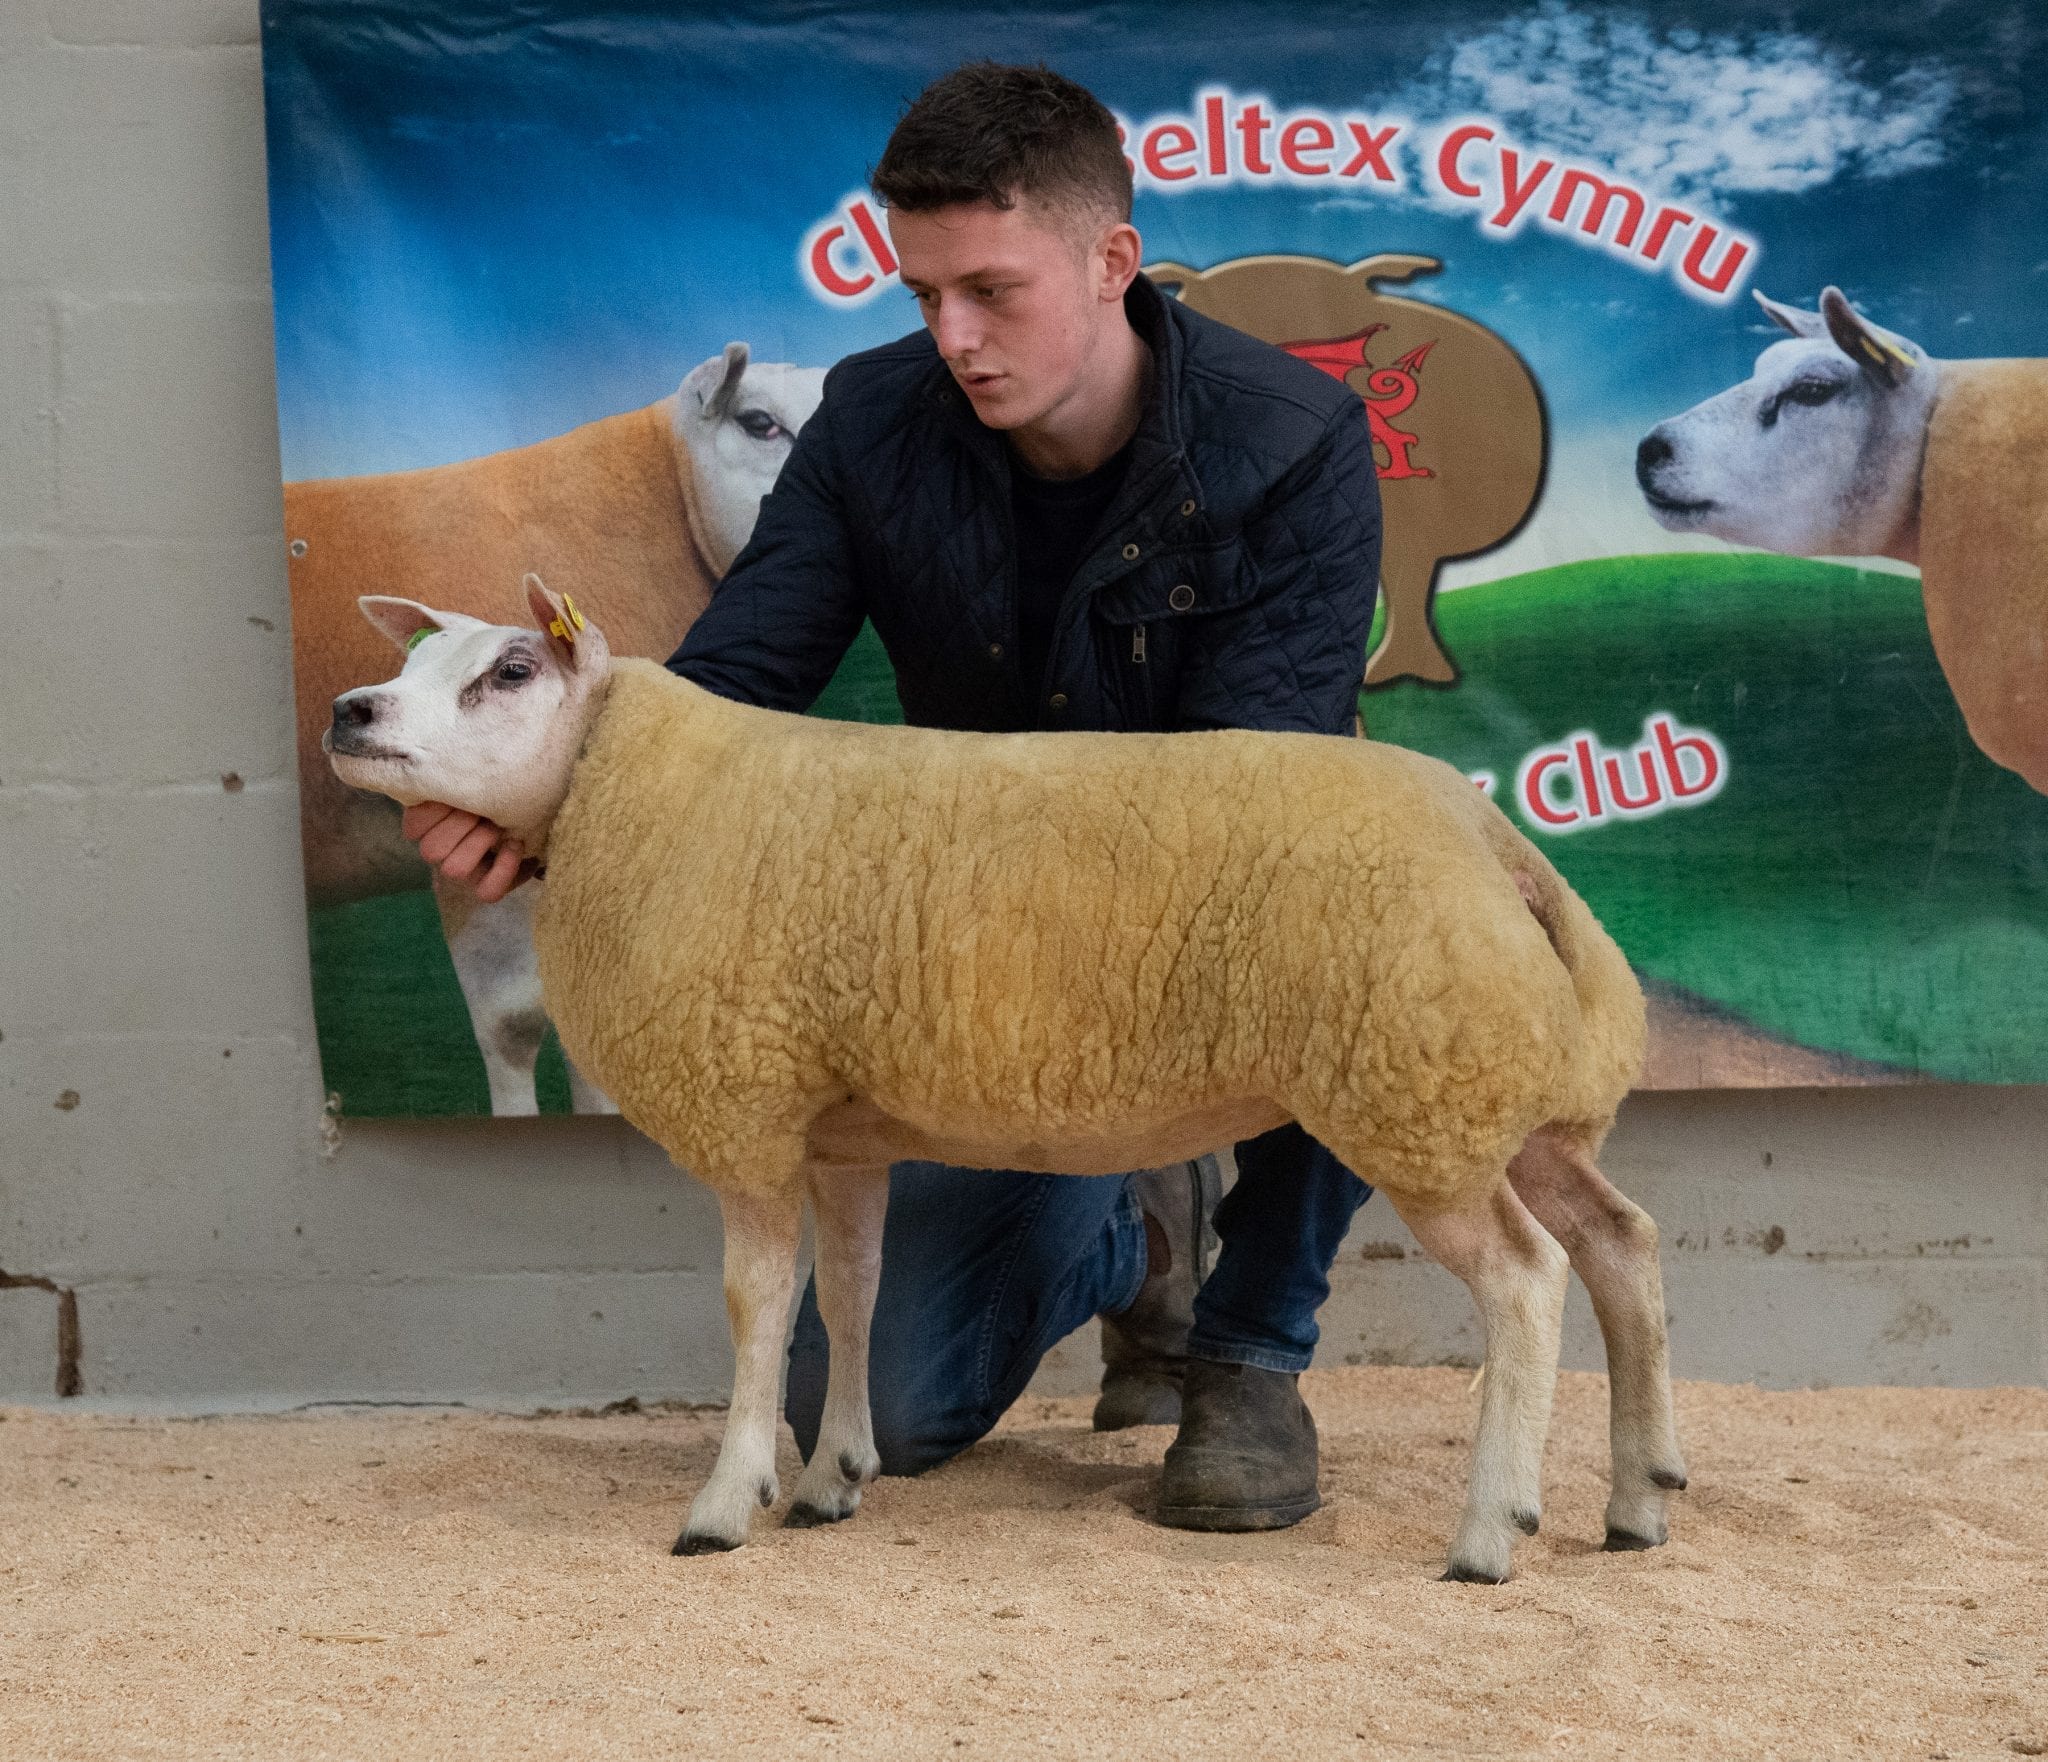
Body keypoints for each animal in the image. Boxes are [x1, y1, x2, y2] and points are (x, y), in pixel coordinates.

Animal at [324, 577, 1686, 1583]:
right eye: (420, 655)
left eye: (508, 673)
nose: (348, 711)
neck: (630, 791)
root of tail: (1495, 842)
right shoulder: (842, 1132)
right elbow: (855, 1297)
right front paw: (833, 1478)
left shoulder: (748, 1102)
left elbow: (755, 1304)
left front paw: (724, 1500)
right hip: (1508, 1101)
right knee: (1618, 1245)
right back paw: (1638, 1497)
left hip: (1413, 1084)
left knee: (1527, 1277)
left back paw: (1490, 1531)